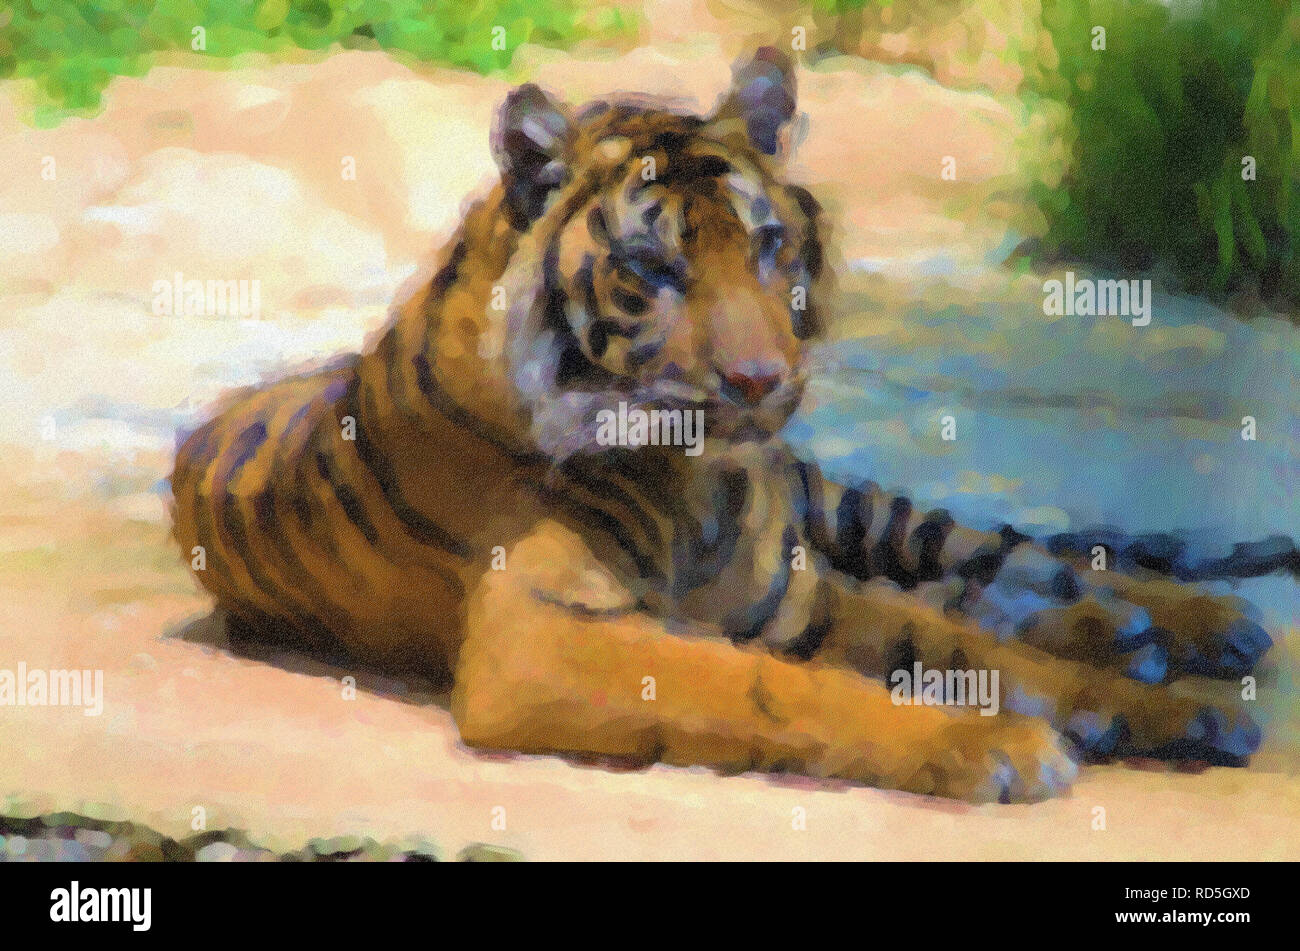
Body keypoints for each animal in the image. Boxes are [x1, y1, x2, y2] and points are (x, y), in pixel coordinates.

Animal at [171, 48, 1277, 803]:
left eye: (770, 244)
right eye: (653, 268)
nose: (760, 380)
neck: (697, 473)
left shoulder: (791, 595)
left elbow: (970, 647)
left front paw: (1186, 712)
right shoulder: (538, 636)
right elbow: (792, 687)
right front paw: (1002, 746)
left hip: (844, 501)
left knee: (992, 553)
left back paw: (1187, 624)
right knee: (981, 585)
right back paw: (1132, 636)